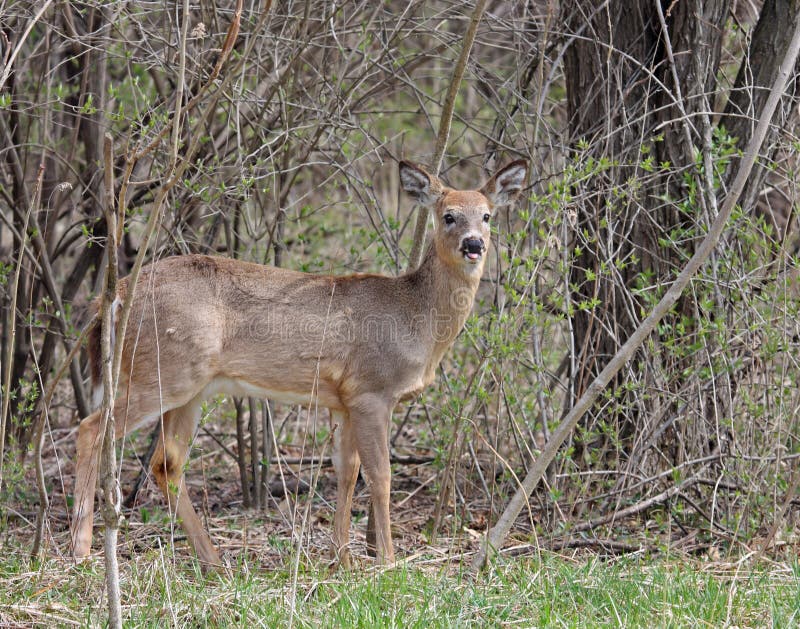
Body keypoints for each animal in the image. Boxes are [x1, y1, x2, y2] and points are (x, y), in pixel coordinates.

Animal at [70, 158, 528, 569]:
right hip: (164, 371)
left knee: (166, 463)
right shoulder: (372, 391)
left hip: (191, 387)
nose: (474, 244)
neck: (416, 319)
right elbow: (380, 476)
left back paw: (214, 561)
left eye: (487, 215)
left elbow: (347, 471)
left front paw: (342, 559)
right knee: (91, 428)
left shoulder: (343, 400)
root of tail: (113, 297)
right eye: (448, 215)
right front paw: (387, 561)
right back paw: (82, 548)